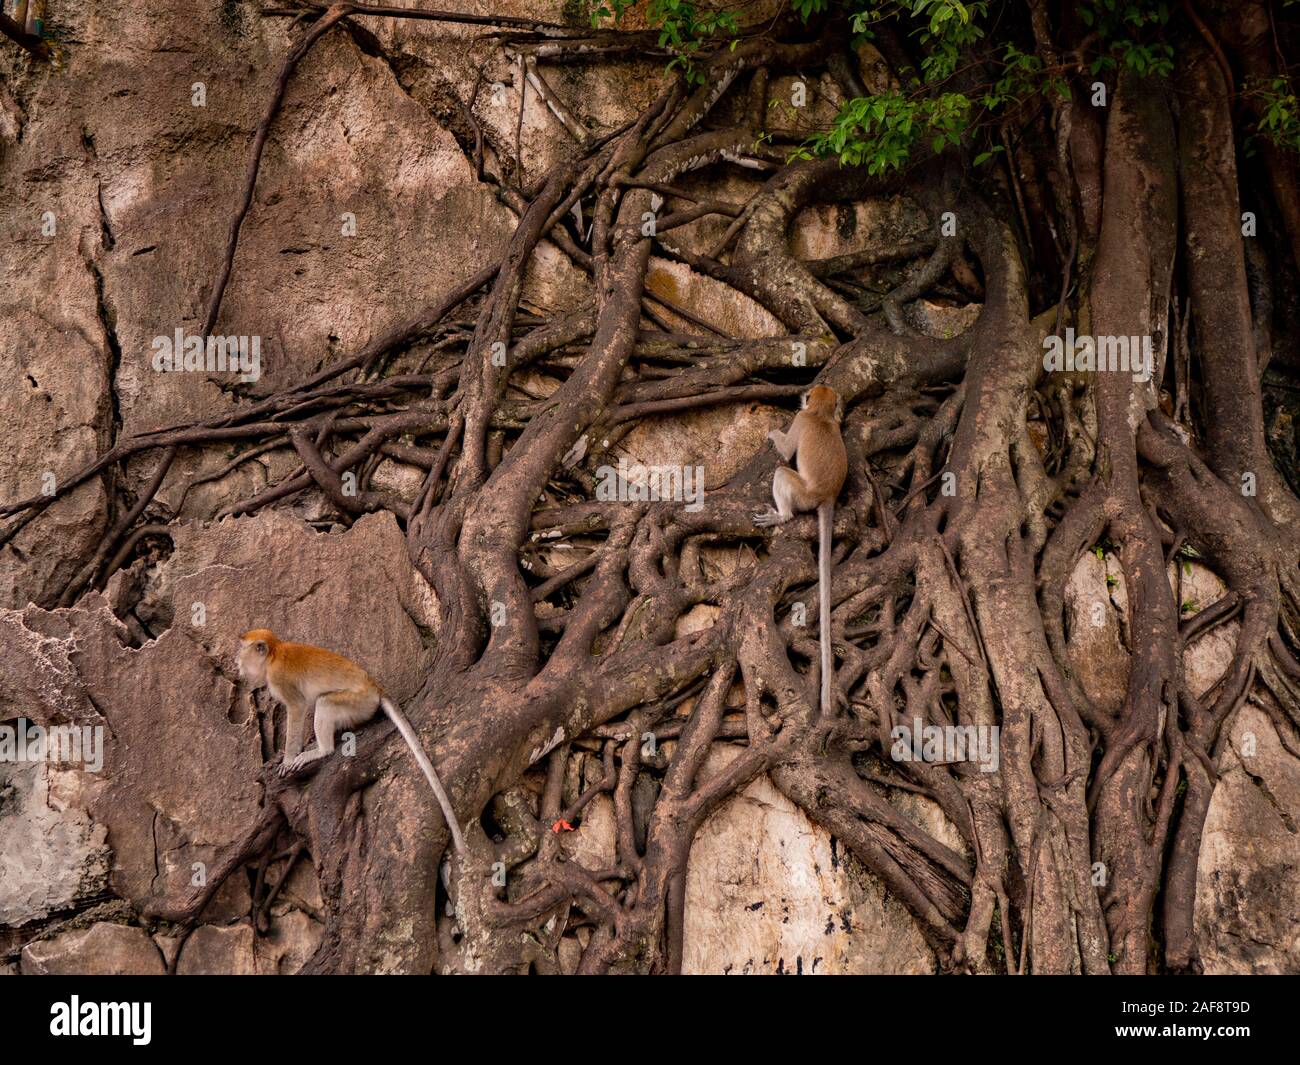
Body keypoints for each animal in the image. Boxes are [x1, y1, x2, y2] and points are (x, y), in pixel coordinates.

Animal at [236, 629, 466, 856]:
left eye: (242, 648)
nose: (236, 661)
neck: (273, 653)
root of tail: (374, 686)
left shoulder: (279, 678)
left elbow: (297, 707)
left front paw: (288, 759)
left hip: (358, 702)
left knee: (325, 702)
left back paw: (321, 750)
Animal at [753, 384, 847, 716]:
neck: (820, 415)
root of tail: (827, 495)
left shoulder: (801, 419)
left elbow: (785, 452)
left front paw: (771, 432)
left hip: (802, 494)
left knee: (783, 473)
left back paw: (781, 516)